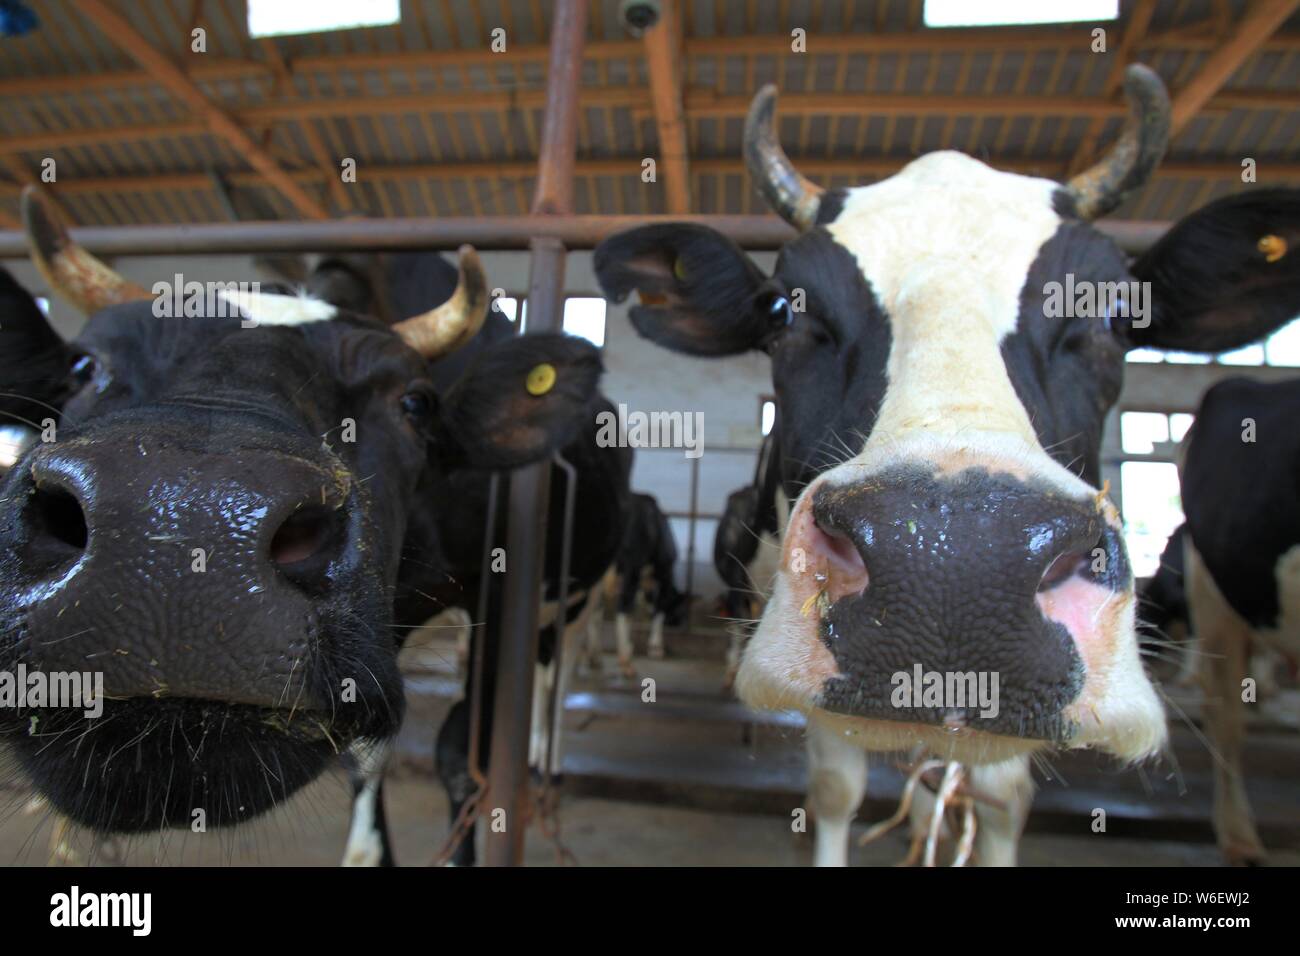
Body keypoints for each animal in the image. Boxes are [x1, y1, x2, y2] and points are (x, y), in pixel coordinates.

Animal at [0, 188, 610, 866]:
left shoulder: (500, 594)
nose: (182, 522)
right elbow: (366, 758)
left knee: (556, 670)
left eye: (416, 403)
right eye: (84, 366)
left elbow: (463, 750)